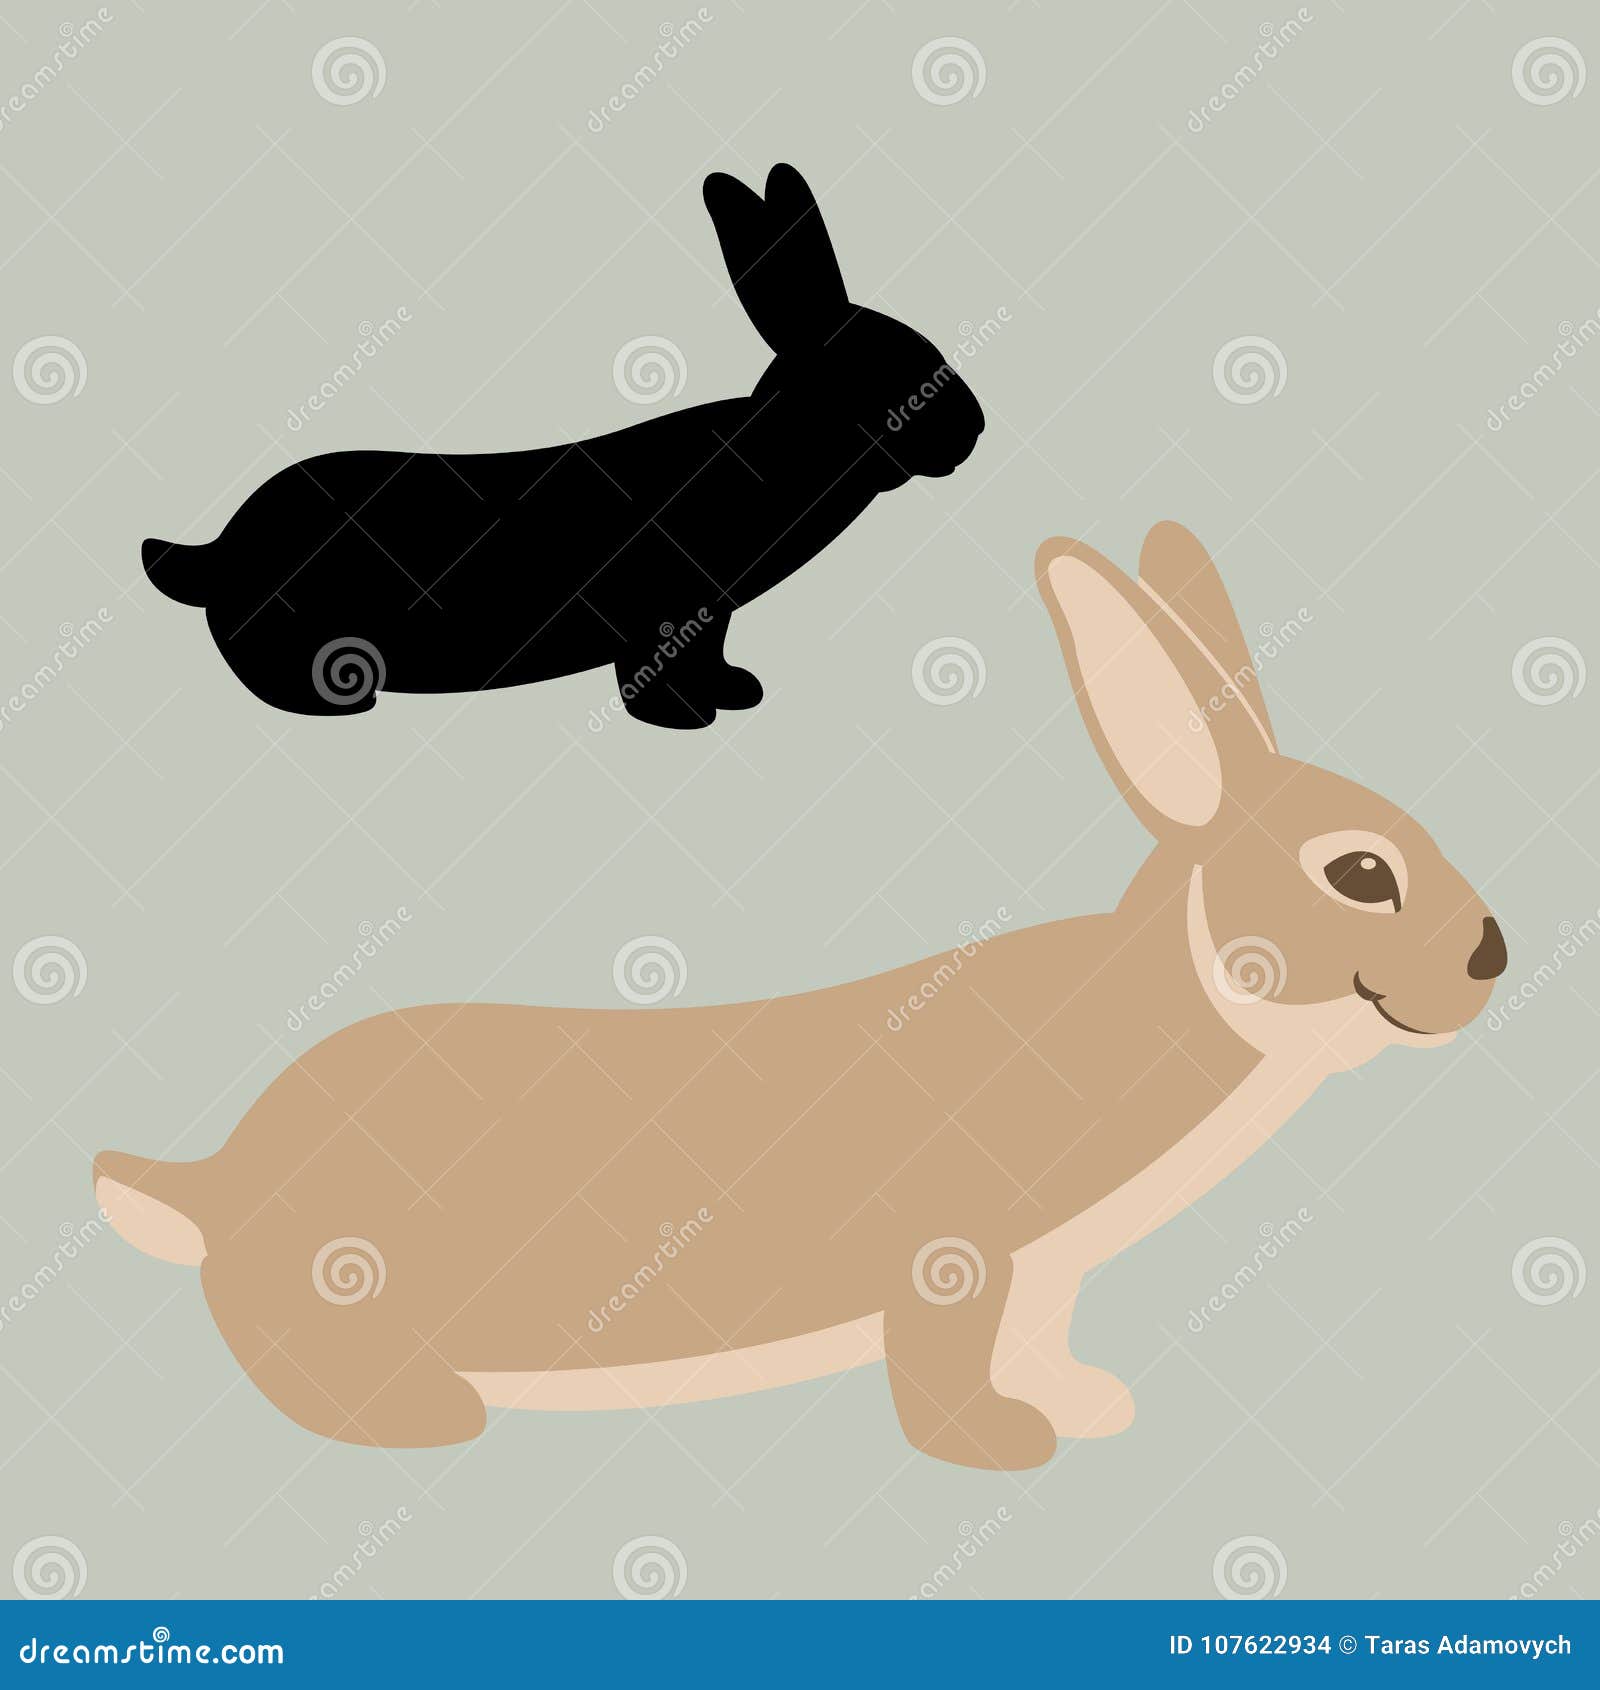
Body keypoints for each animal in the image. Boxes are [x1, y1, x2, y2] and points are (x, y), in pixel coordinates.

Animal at [95, 523, 1505, 1467]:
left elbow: (1042, 1337)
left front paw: (1087, 1406)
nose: (1491, 956)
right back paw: (427, 1416)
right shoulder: (954, 1257)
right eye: (1360, 875)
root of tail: (216, 1184)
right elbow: (942, 1361)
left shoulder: (1047, 1276)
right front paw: (998, 1446)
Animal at [141, 163, 985, 729]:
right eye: (887, 368)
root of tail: (220, 549)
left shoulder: (710, 616)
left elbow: (712, 657)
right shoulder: (665, 610)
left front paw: (737, 694)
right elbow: (653, 667)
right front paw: (685, 721)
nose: (974, 430)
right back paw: (339, 706)